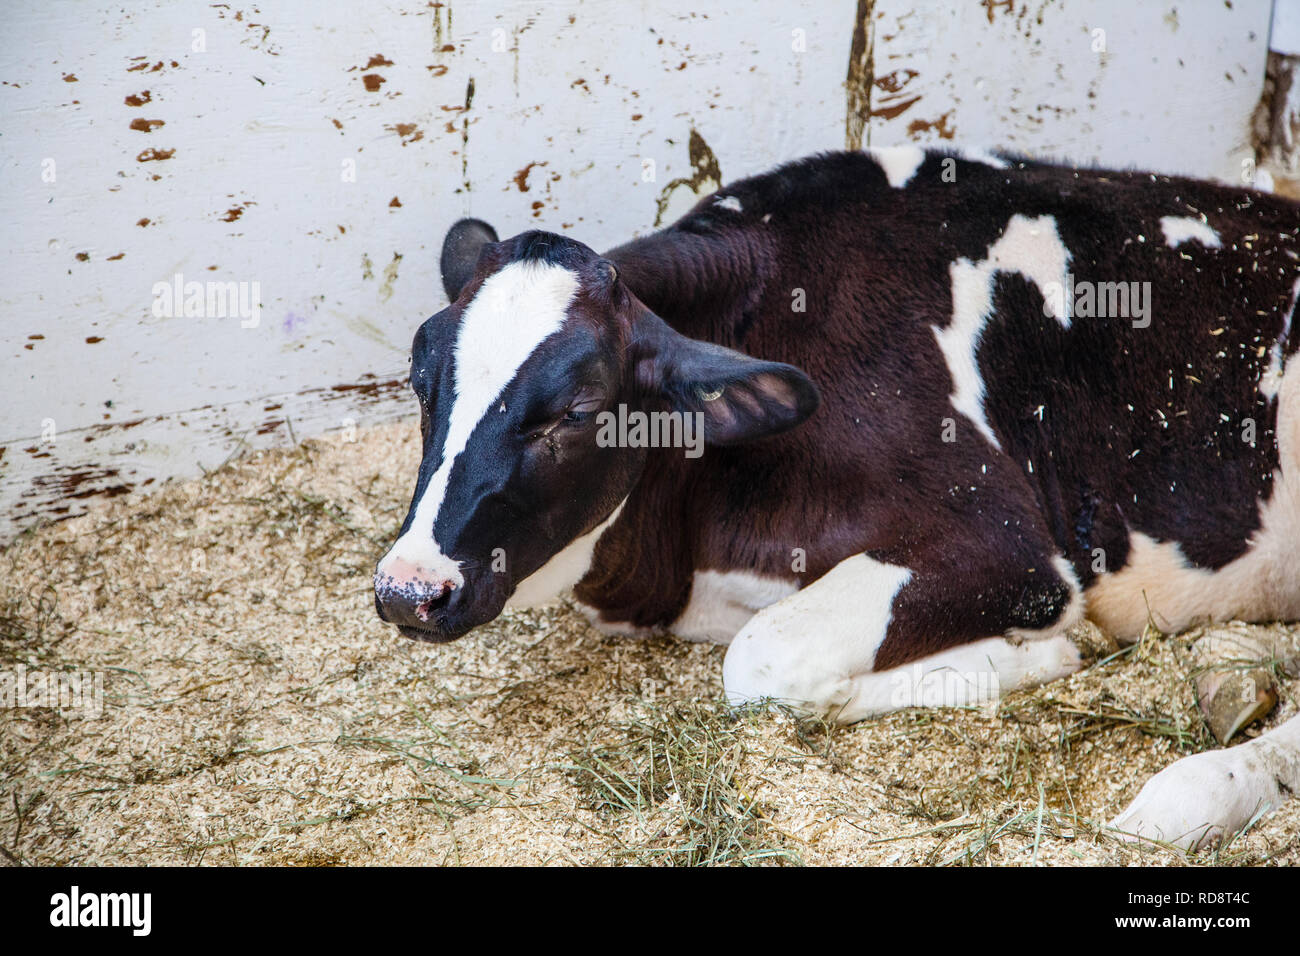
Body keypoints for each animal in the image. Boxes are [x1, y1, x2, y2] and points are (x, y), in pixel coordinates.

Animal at [373, 146, 1300, 852]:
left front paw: (1031, 657)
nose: (408, 589)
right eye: (420, 380)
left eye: (574, 411)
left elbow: (762, 661)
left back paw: (1197, 790)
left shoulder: (1007, 546)